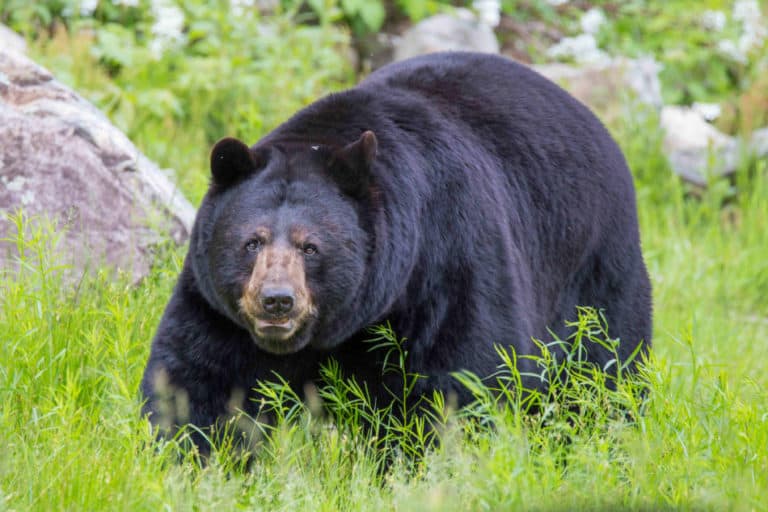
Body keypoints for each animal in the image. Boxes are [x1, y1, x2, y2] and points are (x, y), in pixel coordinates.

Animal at [140, 51, 652, 451]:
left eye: (311, 247)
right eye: (252, 241)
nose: (277, 301)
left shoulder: (448, 263)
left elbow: (461, 380)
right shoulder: (219, 307)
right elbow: (196, 377)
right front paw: (191, 456)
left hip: (593, 270)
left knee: (601, 373)